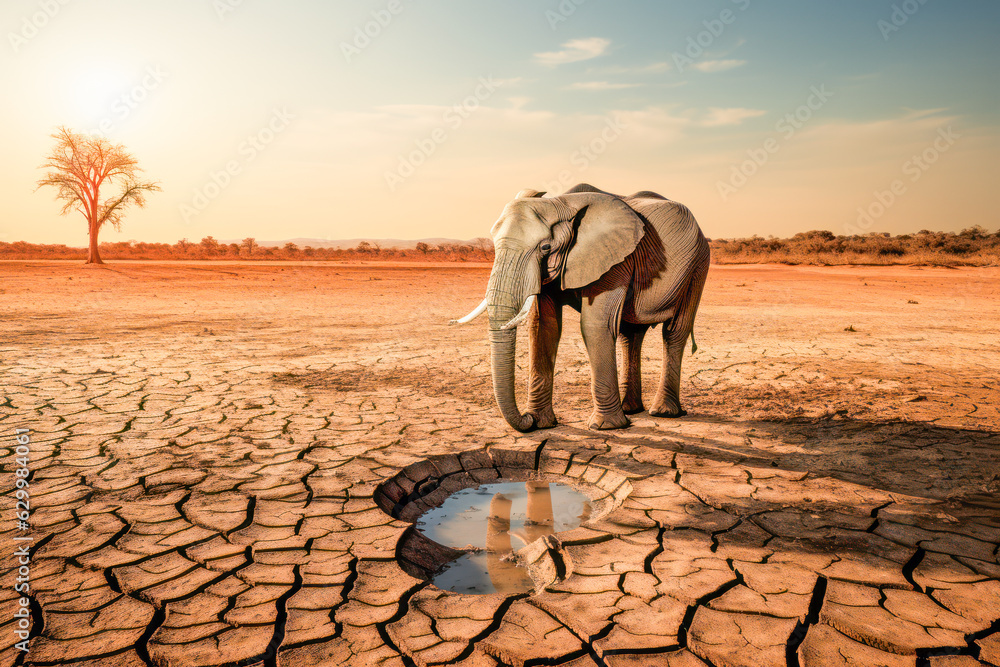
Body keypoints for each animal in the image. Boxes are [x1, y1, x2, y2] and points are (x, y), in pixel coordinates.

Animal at [454, 184, 710, 432]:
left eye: (545, 247)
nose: (527, 420)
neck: (560, 202)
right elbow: (544, 327)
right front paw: (542, 423)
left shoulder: (614, 260)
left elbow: (595, 326)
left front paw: (605, 427)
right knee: (631, 335)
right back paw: (631, 410)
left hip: (698, 266)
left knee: (675, 332)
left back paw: (663, 413)